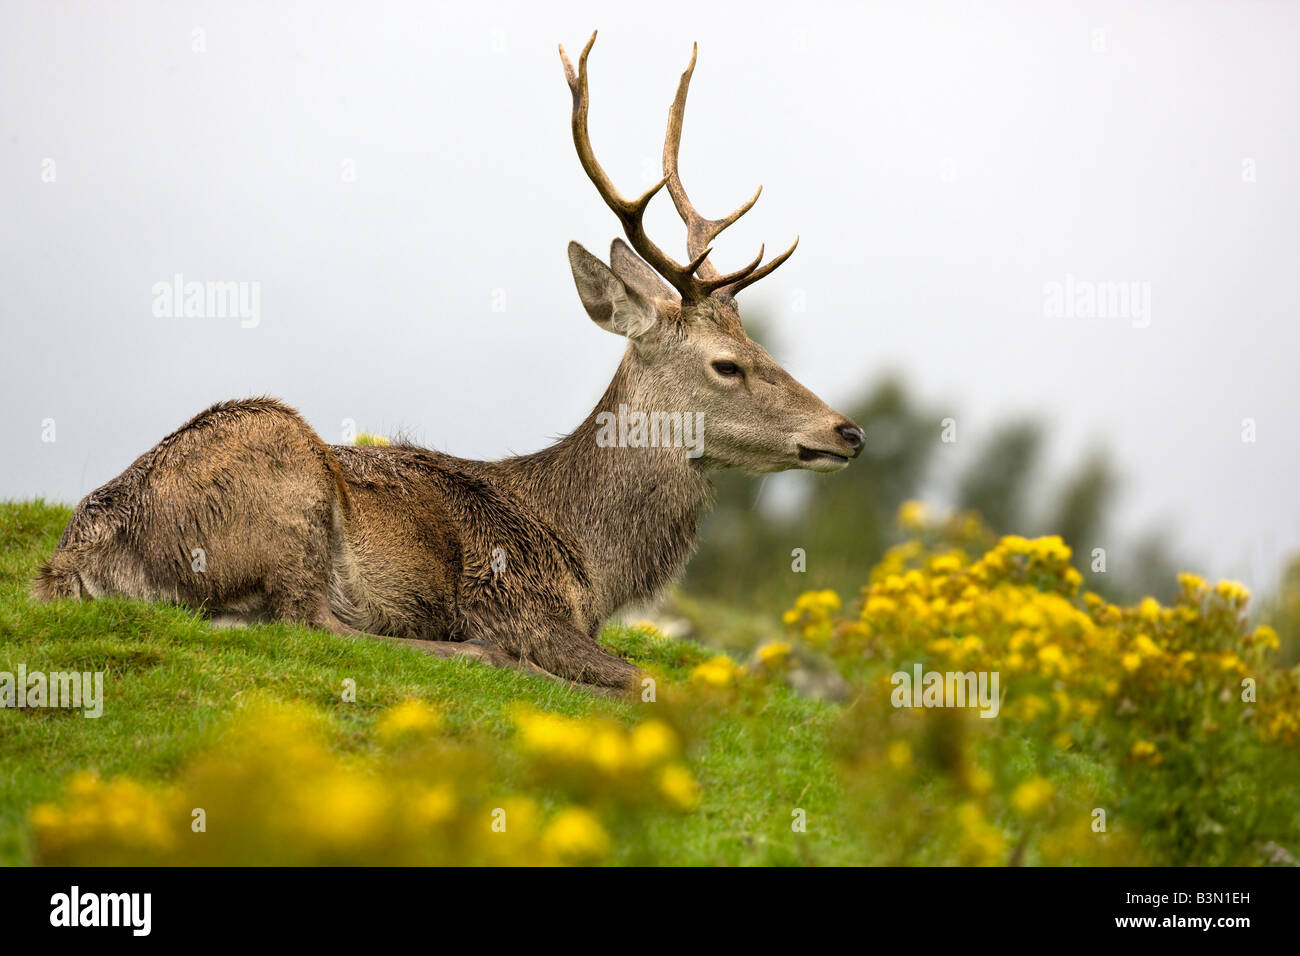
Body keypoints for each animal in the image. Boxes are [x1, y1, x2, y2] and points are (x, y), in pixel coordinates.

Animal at [32, 33, 865, 690]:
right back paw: (486, 658)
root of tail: (73, 560)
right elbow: (648, 677)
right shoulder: (516, 602)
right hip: (281, 481)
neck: (589, 566)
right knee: (305, 621)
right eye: (728, 364)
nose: (848, 431)